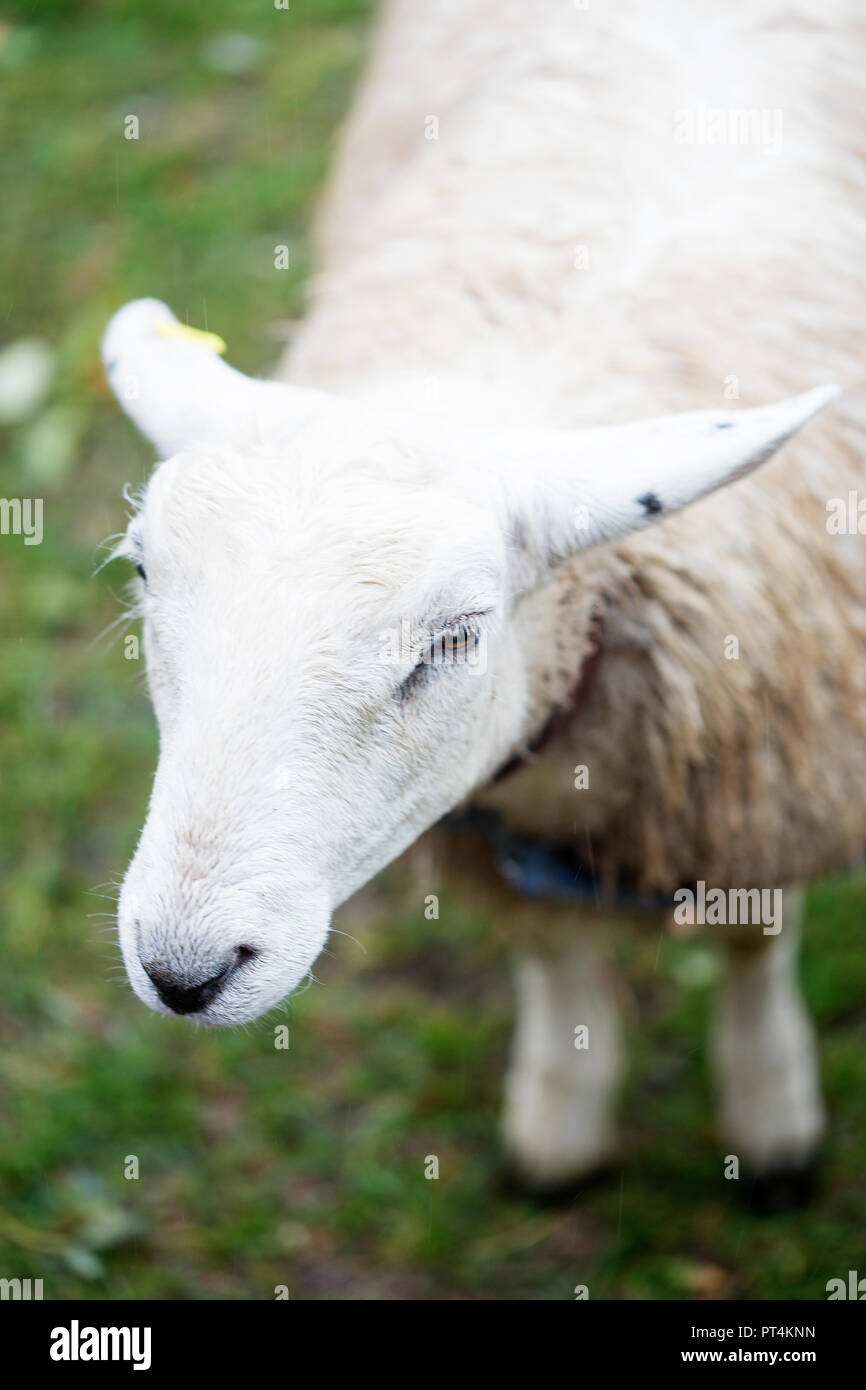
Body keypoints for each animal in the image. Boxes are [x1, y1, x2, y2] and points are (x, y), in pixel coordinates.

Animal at [103, 0, 866, 1202]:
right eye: (142, 572)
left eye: (453, 638)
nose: (184, 972)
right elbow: (547, 948)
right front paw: (558, 1128)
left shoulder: (771, 781)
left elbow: (753, 942)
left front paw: (771, 1123)